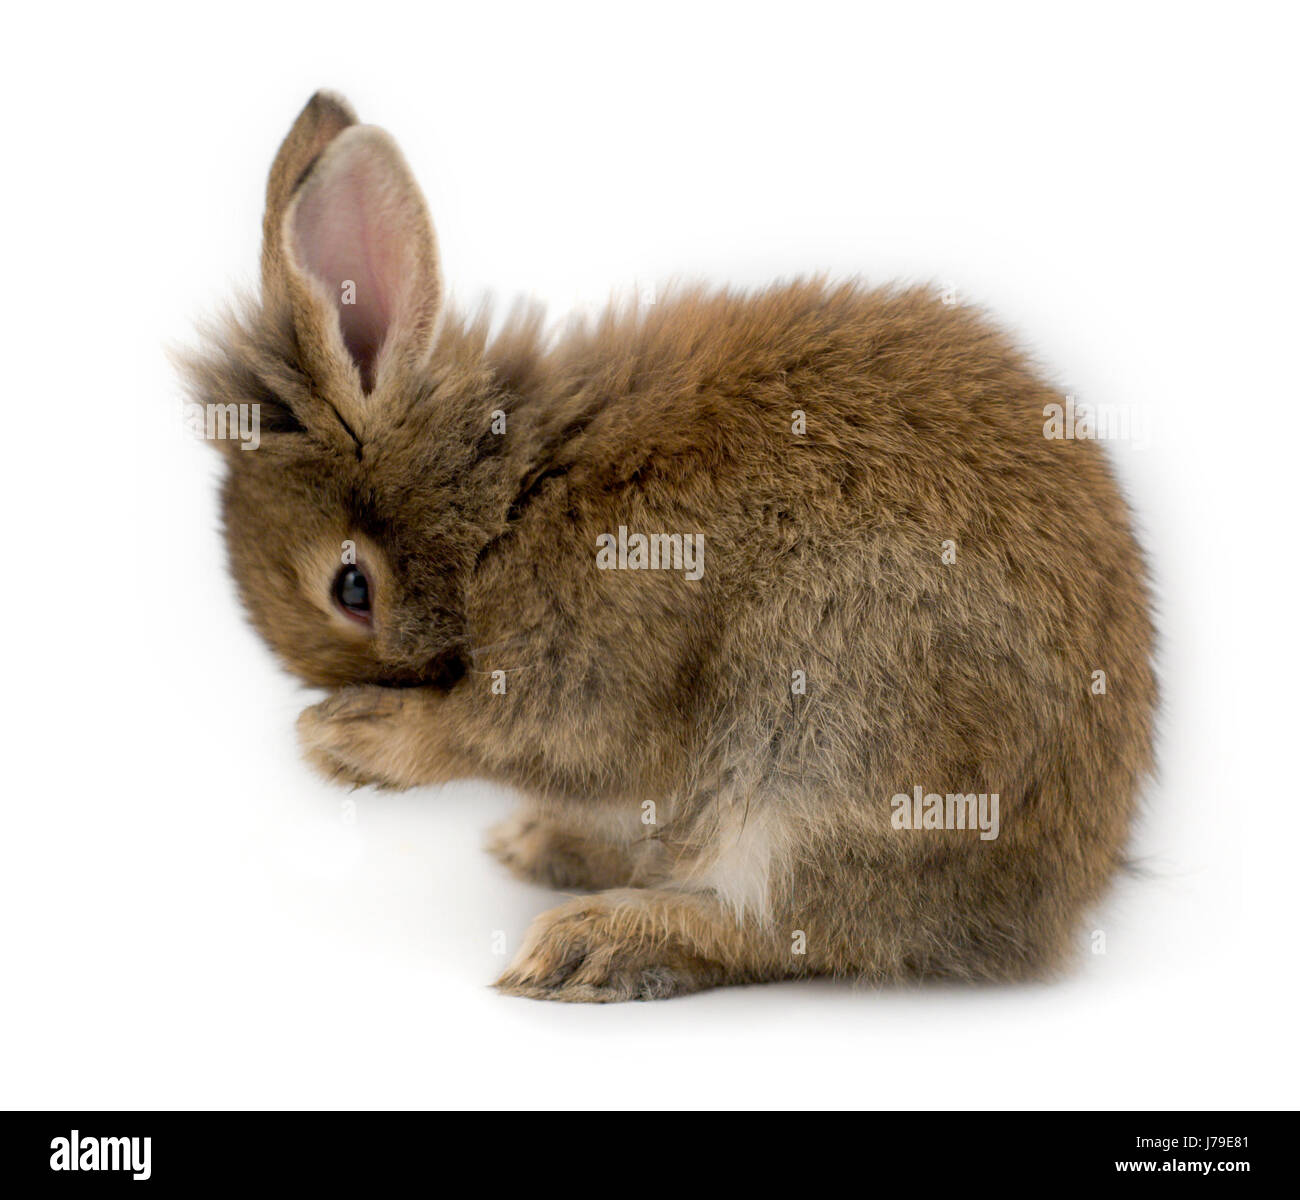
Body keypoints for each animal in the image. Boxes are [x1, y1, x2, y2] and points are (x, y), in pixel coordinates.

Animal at [184, 91, 1156, 1002]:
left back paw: (591, 944)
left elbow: (503, 736)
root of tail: (1043, 909)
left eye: (352, 590)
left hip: (821, 751)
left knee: (787, 925)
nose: (346, 702)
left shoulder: (589, 670)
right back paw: (547, 850)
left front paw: (347, 742)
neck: (515, 501)